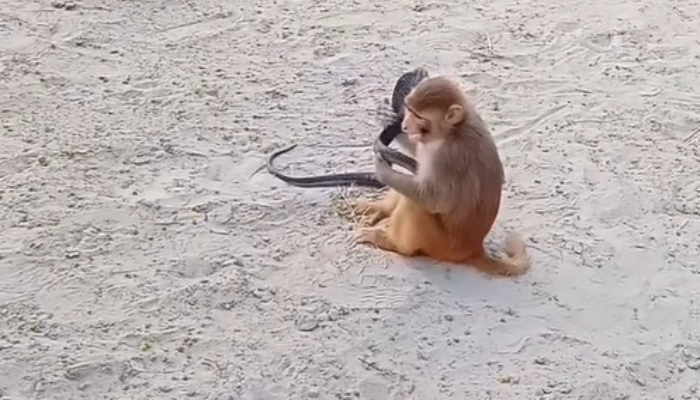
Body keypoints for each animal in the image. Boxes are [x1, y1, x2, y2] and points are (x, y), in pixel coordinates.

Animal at [351, 76, 530, 277]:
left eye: (419, 116)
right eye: (409, 110)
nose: (404, 125)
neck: (454, 129)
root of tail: (475, 249)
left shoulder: (448, 157)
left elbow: (435, 200)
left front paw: (382, 170)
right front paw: (385, 117)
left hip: (441, 246)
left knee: (415, 201)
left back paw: (393, 243)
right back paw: (379, 209)